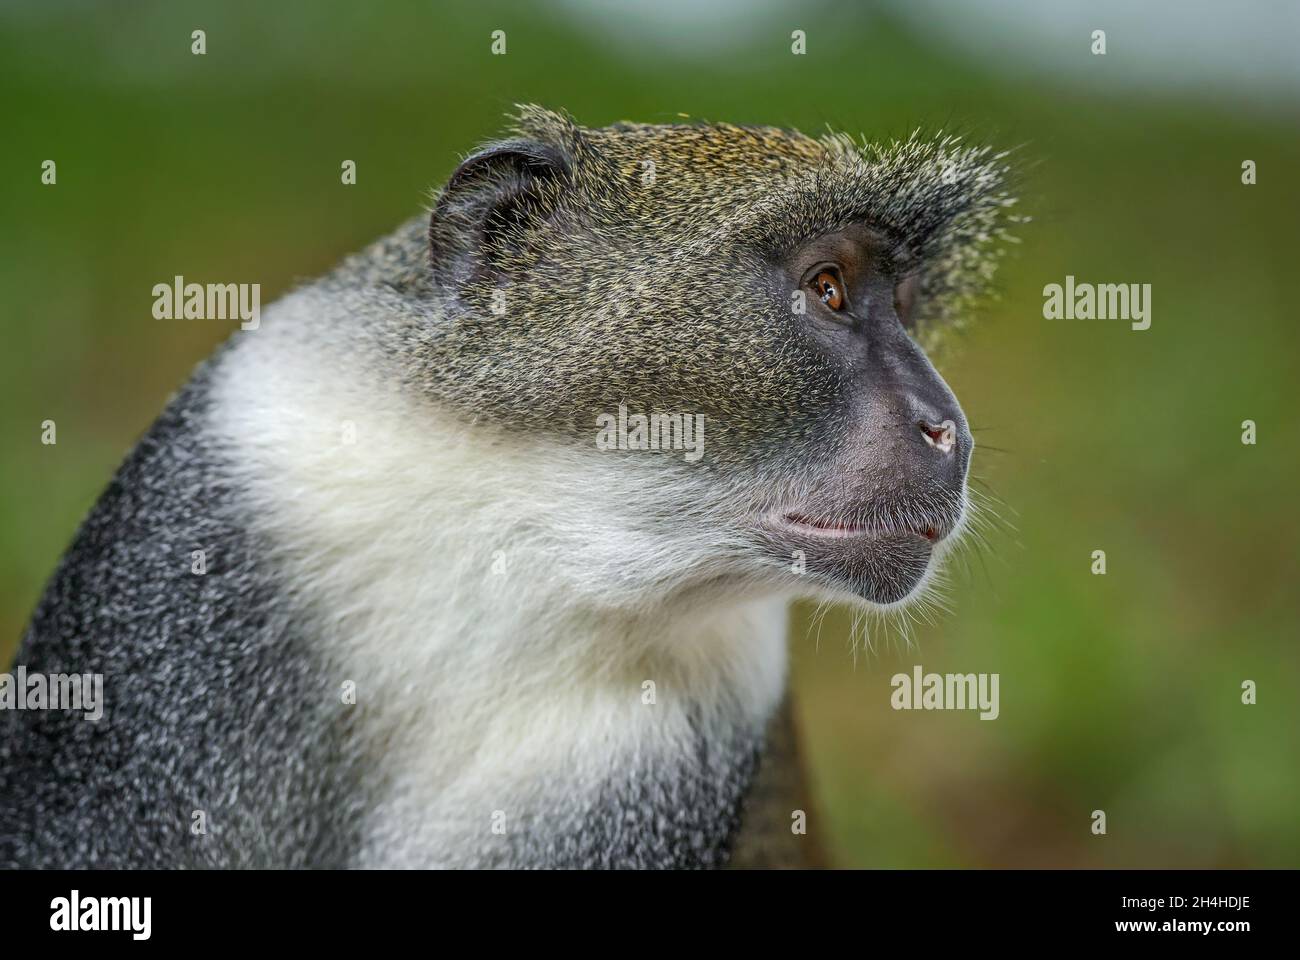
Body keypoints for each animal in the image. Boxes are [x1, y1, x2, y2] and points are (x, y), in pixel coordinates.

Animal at [0, 105, 1017, 869]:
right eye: (830, 287)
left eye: (905, 301)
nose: (950, 430)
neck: (523, 536)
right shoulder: (222, 499)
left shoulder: (659, 745)